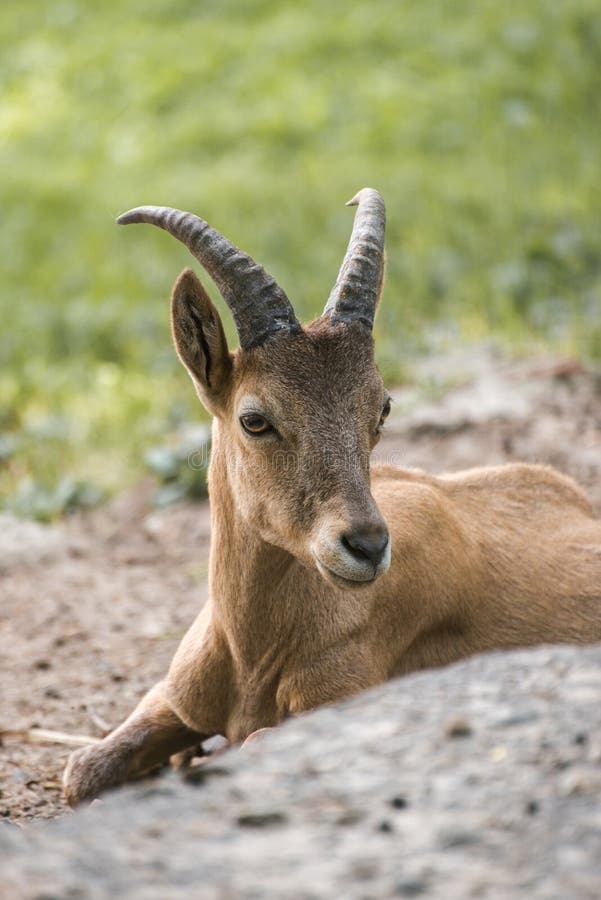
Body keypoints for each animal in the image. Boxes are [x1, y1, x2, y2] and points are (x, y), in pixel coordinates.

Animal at [64, 189, 601, 804]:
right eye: (254, 419)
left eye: (382, 408)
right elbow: (81, 772)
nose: (366, 546)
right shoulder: (176, 695)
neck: (252, 648)